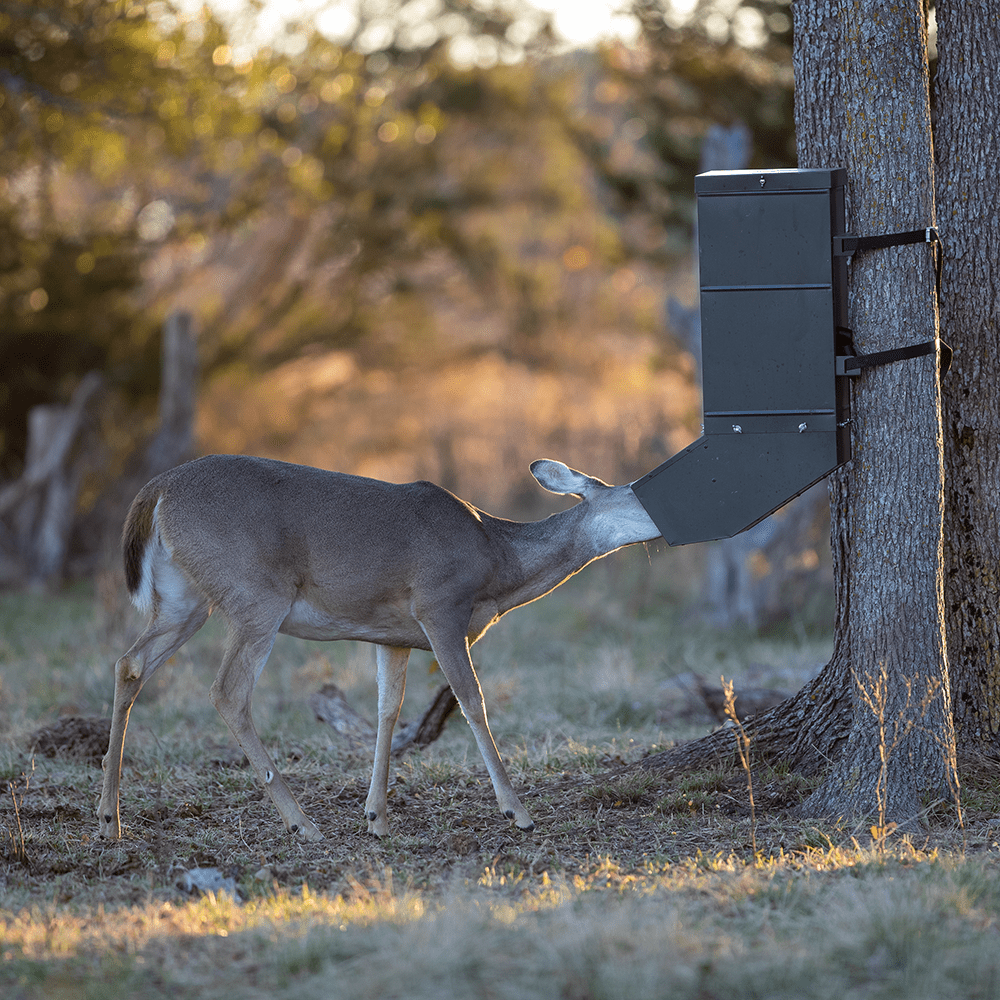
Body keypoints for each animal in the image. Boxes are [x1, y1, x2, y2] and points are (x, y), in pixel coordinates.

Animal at [98, 454, 662, 842]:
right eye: (636, 493)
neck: (497, 564)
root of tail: (159, 489)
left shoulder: (390, 635)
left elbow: (388, 709)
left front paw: (377, 817)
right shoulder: (439, 606)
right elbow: (471, 699)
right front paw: (517, 812)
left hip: (184, 597)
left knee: (130, 663)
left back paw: (109, 817)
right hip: (256, 593)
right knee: (228, 691)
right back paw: (302, 822)